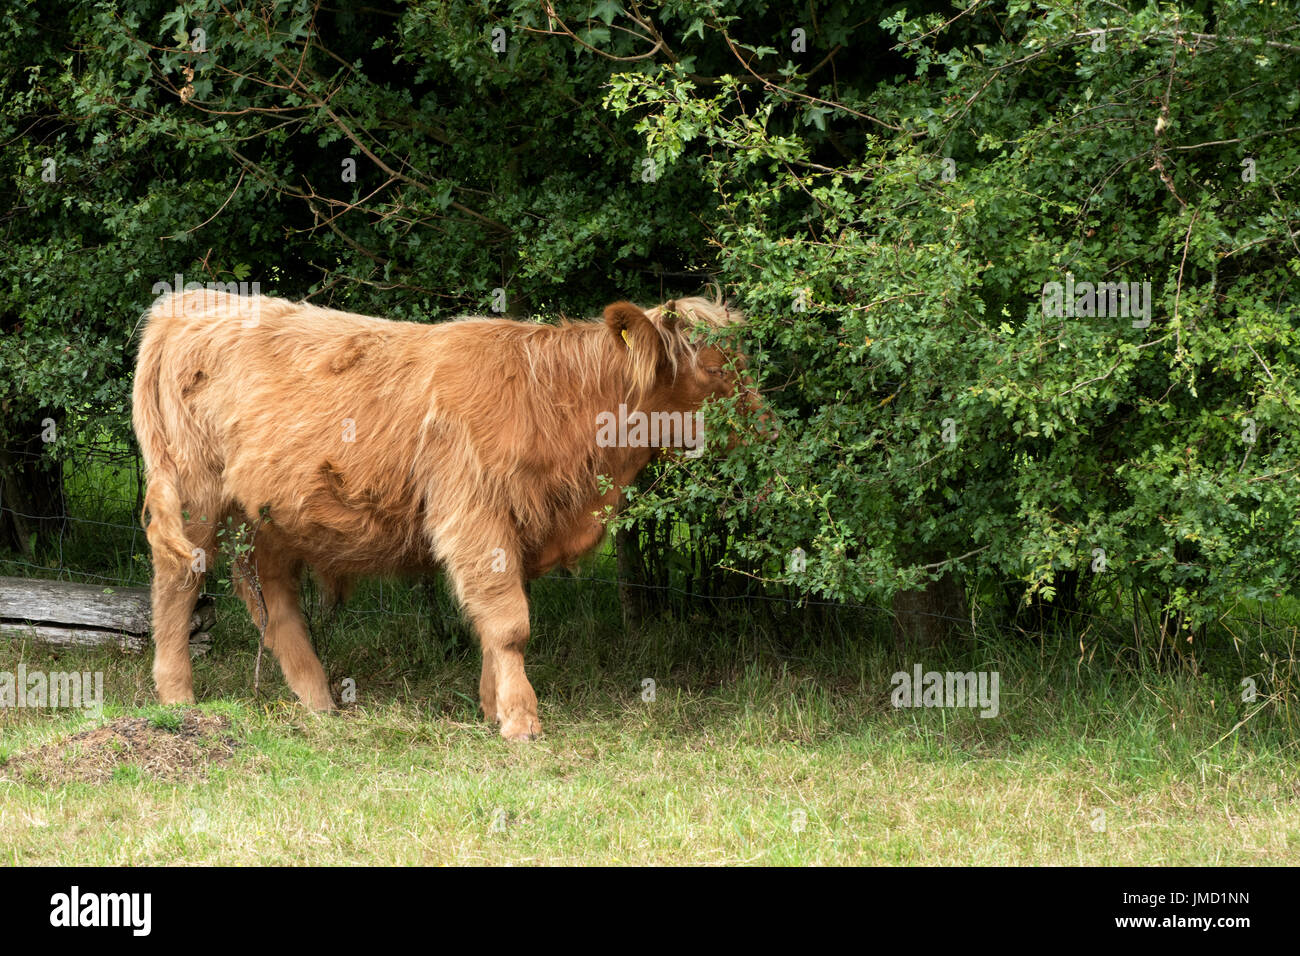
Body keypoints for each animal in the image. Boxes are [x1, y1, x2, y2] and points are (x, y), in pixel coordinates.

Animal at [132, 289, 755, 739]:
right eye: (715, 369)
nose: (764, 424)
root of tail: (184, 303)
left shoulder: (513, 529)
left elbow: (492, 619)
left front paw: (490, 705)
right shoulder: (473, 510)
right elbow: (510, 622)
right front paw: (521, 720)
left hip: (269, 517)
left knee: (272, 597)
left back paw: (319, 701)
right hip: (194, 492)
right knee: (177, 582)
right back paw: (178, 697)